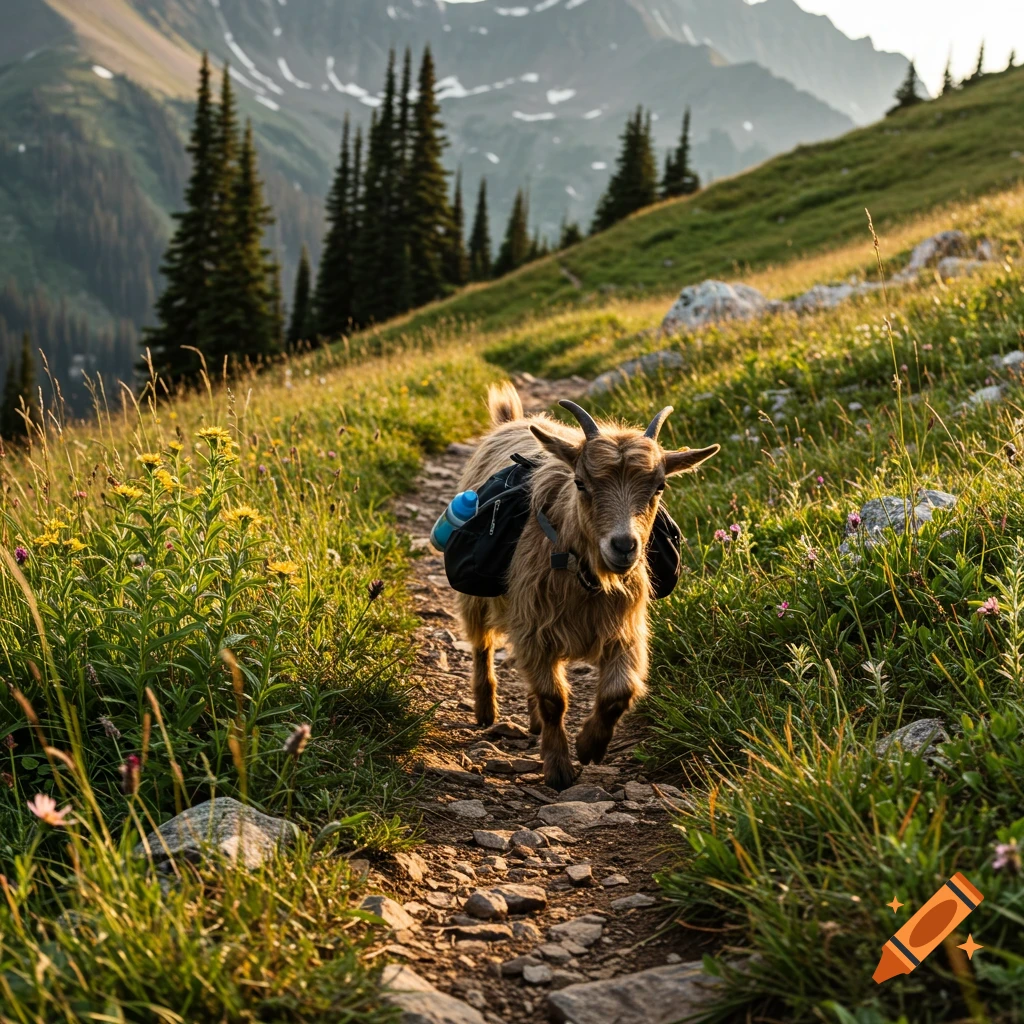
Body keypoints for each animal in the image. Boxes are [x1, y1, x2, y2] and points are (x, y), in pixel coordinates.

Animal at [455, 383, 720, 790]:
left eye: (659, 487)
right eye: (581, 483)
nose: (624, 545)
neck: (587, 579)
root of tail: (511, 422)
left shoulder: (625, 630)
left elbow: (617, 694)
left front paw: (589, 746)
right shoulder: (535, 628)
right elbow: (554, 700)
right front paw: (559, 769)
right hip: (476, 598)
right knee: (481, 644)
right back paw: (486, 709)